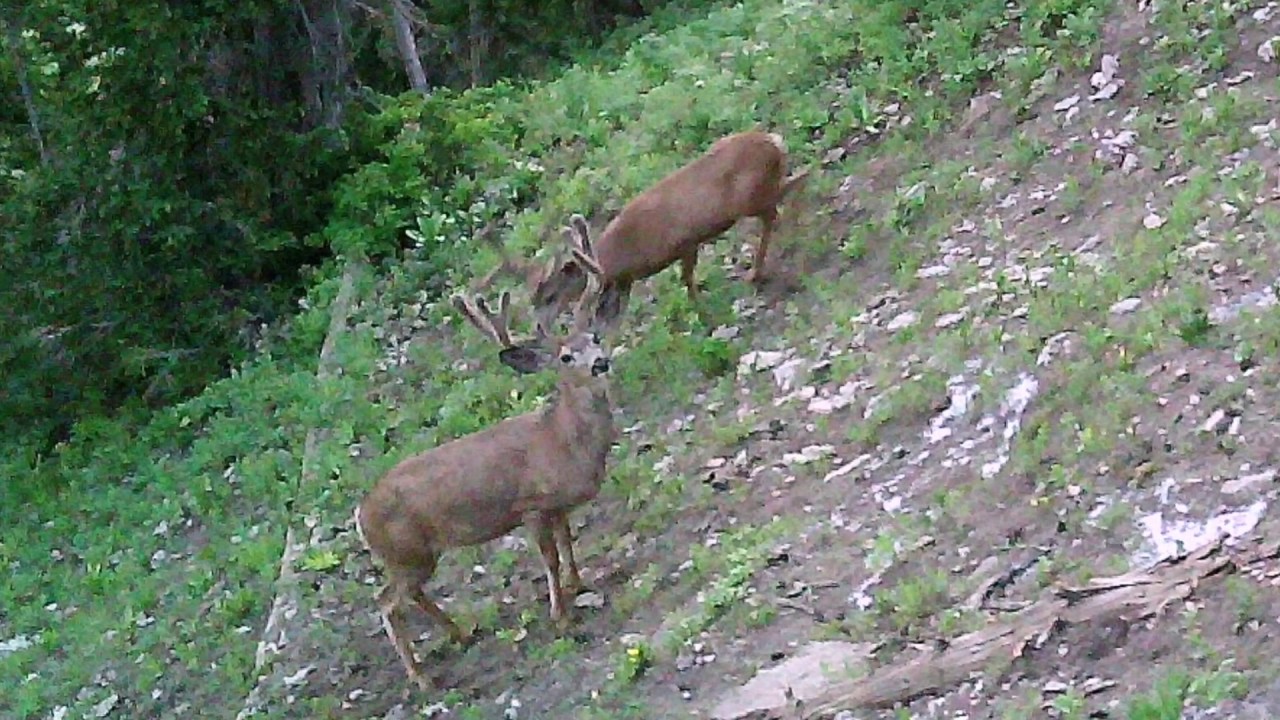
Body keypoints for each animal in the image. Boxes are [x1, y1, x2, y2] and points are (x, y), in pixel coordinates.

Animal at [353, 219, 621, 692]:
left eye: (595, 336)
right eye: (566, 356)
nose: (600, 363)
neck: (560, 440)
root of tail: (360, 516)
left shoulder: (557, 507)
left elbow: (568, 544)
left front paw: (578, 584)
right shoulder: (531, 504)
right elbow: (549, 558)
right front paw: (560, 615)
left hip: (416, 556)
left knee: (409, 595)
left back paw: (461, 633)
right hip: (405, 552)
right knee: (386, 602)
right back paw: (422, 678)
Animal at [529, 130, 811, 331]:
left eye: (549, 295)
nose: (540, 327)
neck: (625, 253)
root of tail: (775, 141)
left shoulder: (684, 242)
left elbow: (686, 279)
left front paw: (702, 316)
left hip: (751, 198)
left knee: (786, 197)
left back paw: (760, 267)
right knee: (796, 181)